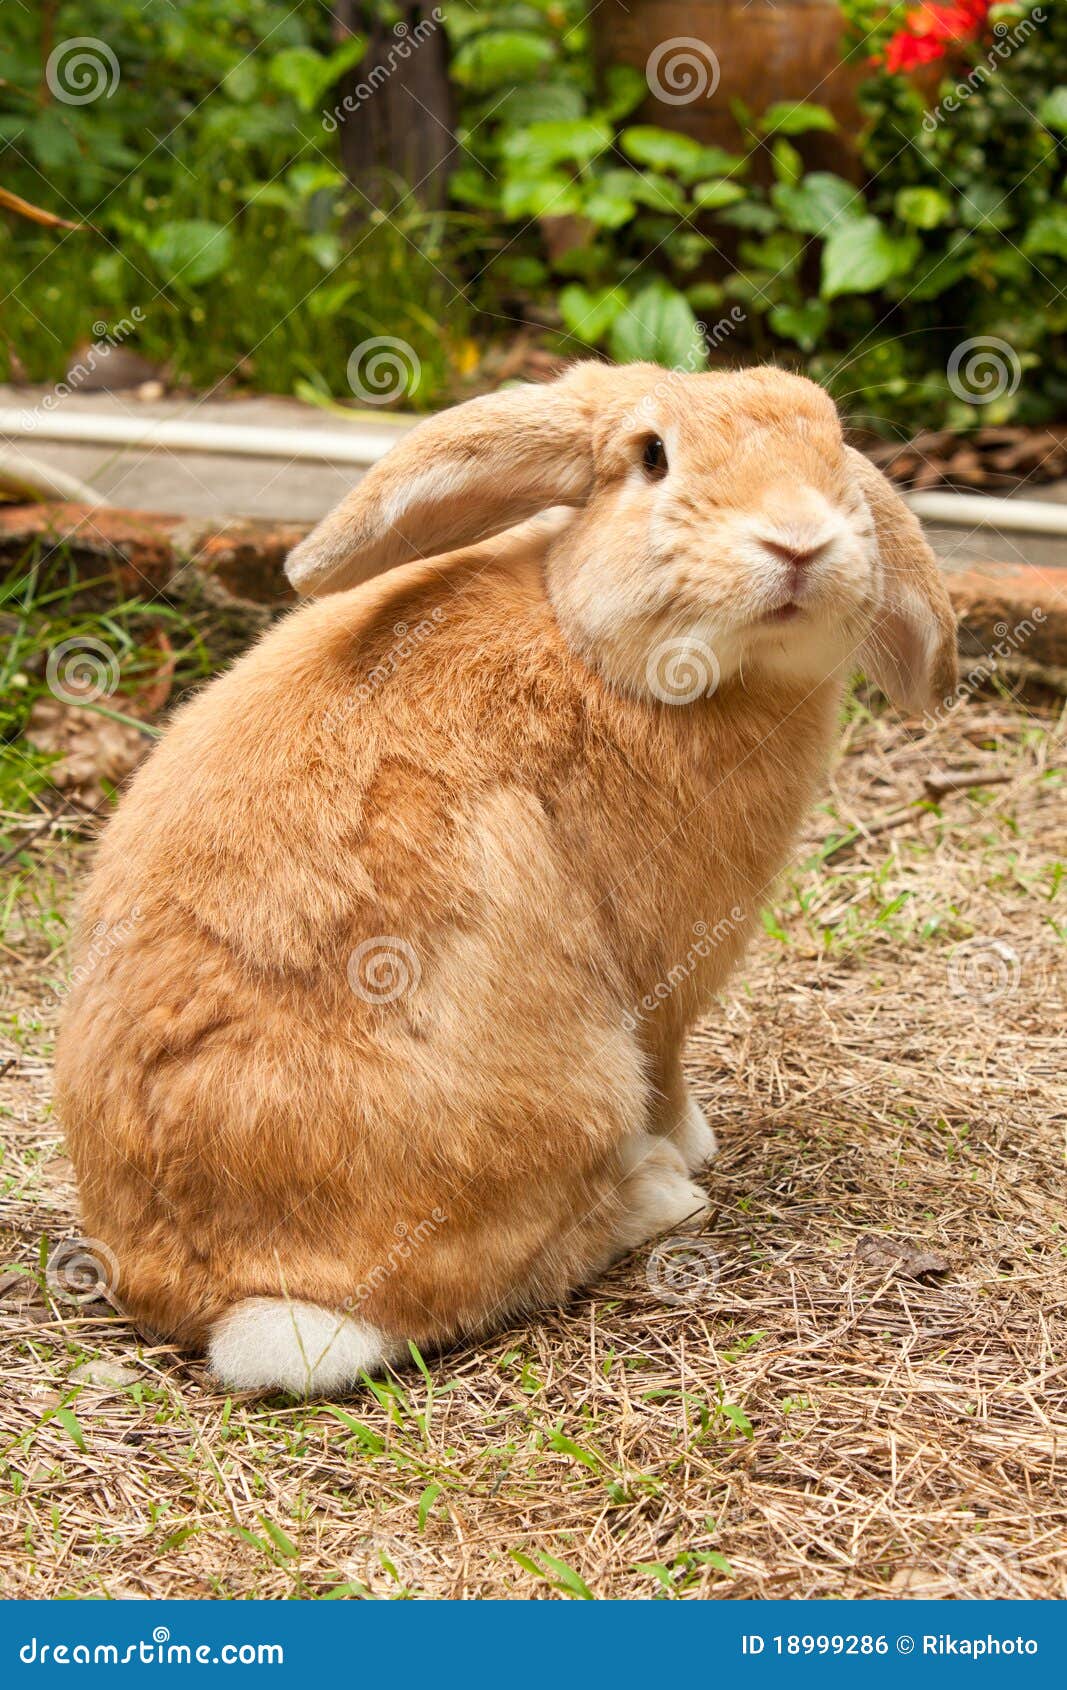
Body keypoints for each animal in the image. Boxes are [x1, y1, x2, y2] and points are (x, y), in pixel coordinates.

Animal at [54, 361, 957, 1396]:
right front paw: (692, 1143)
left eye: (832, 441)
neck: (596, 650)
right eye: (652, 456)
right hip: (562, 1087)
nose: (799, 540)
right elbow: (668, 1069)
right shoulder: (664, 985)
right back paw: (659, 1197)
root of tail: (211, 1294)